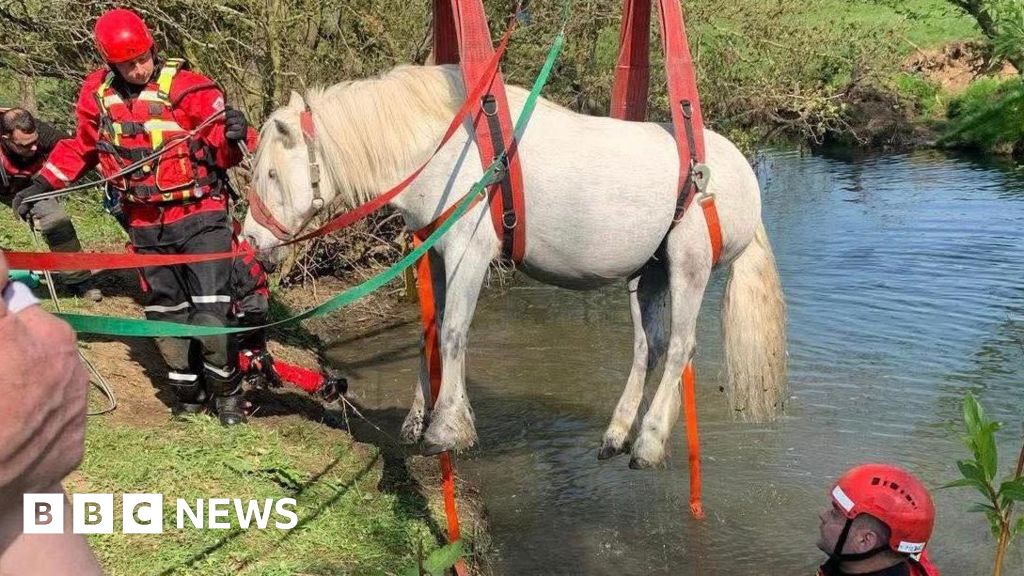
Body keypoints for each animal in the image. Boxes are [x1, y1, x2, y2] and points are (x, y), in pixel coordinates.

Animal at [242, 64, 787, 468]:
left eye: (270, 173)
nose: (249, 240)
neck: (448, 147)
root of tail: (740, 172)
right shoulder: (433, 251)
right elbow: (429, 330)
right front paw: (417, 421)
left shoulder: (466, 251)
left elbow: (454, 332)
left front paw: (447, 428)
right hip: (648, 273)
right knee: (648, 348)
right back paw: (618, 435)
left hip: (689, 266)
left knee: (679, 348)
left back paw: (649, 443)